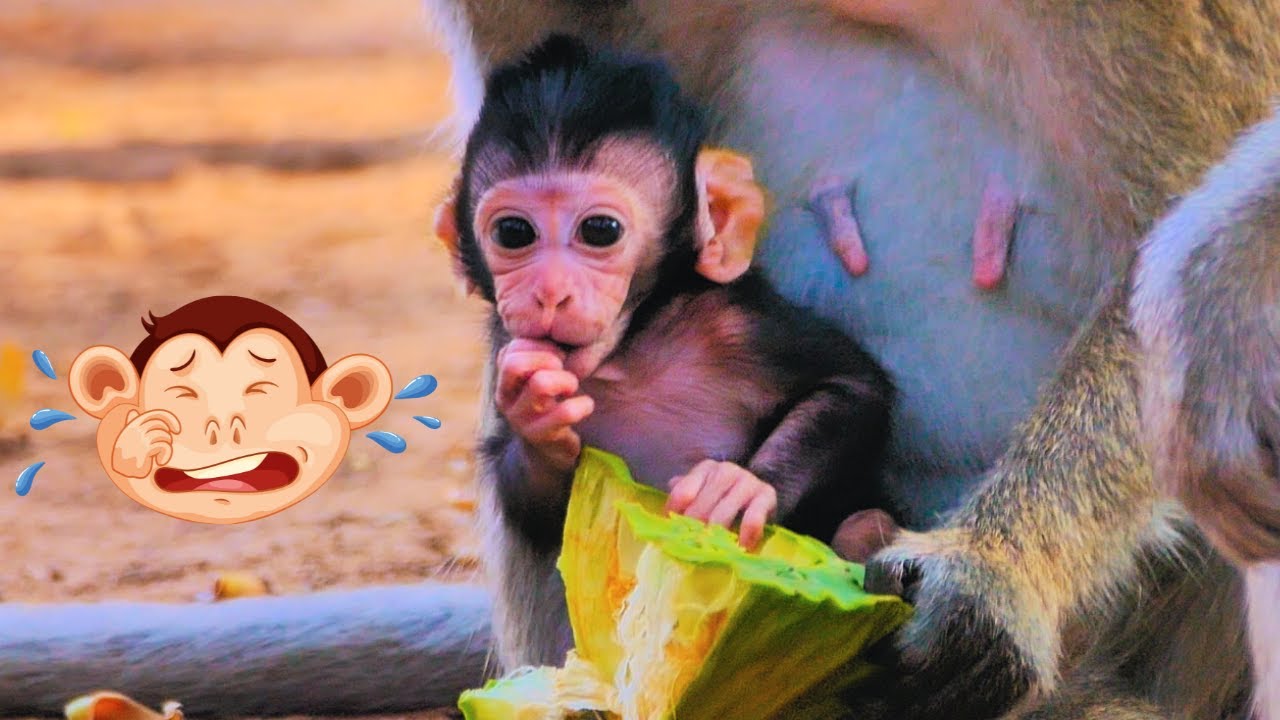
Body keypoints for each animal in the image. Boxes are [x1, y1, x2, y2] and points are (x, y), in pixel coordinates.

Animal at [432, 35, 896, 595]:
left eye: (600, 231)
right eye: (514, 234)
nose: (549, 293)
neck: (632, 350)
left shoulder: (737, 324)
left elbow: (853, 386)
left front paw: (741, 485)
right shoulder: (506, 347)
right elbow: (539, 509)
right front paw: (536, 417)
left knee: (862, 524)